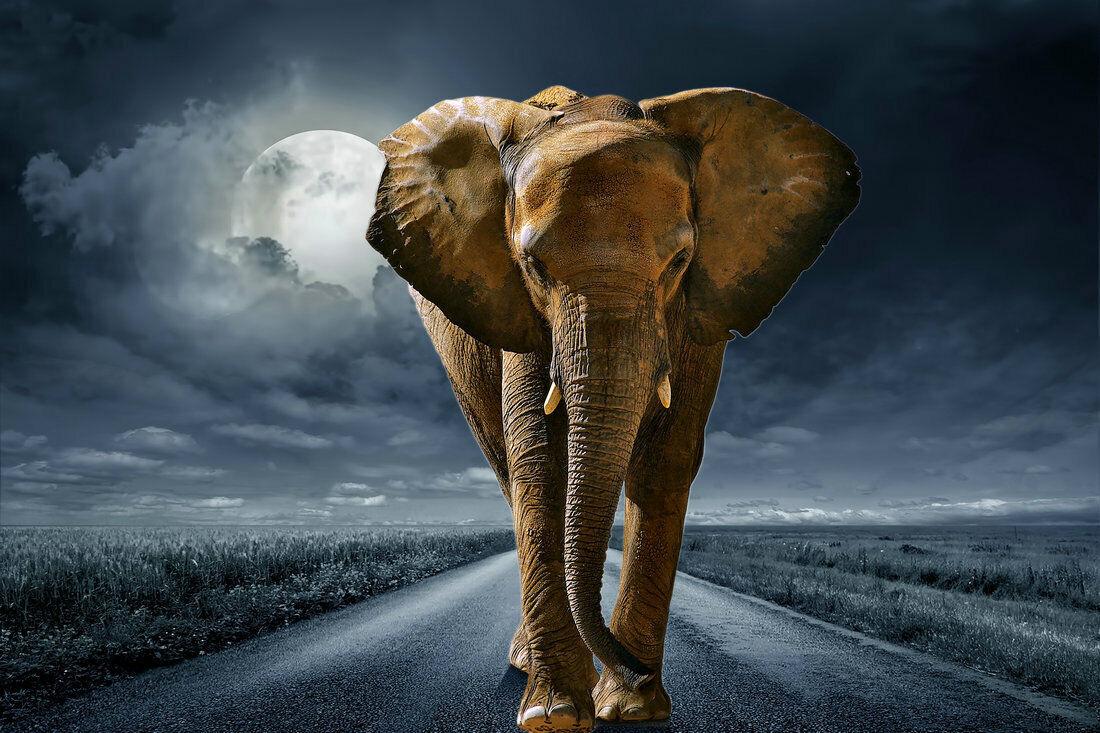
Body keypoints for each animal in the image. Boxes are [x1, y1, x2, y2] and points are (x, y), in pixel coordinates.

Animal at [366, 85, 859, 731]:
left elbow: (666, 457)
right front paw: (554, 714)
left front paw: (632, 707)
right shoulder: (519, 308)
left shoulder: (701, 307)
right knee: (503, 462)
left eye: (679, 262)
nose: (634, 667)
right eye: (534, 266)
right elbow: (539, 458)